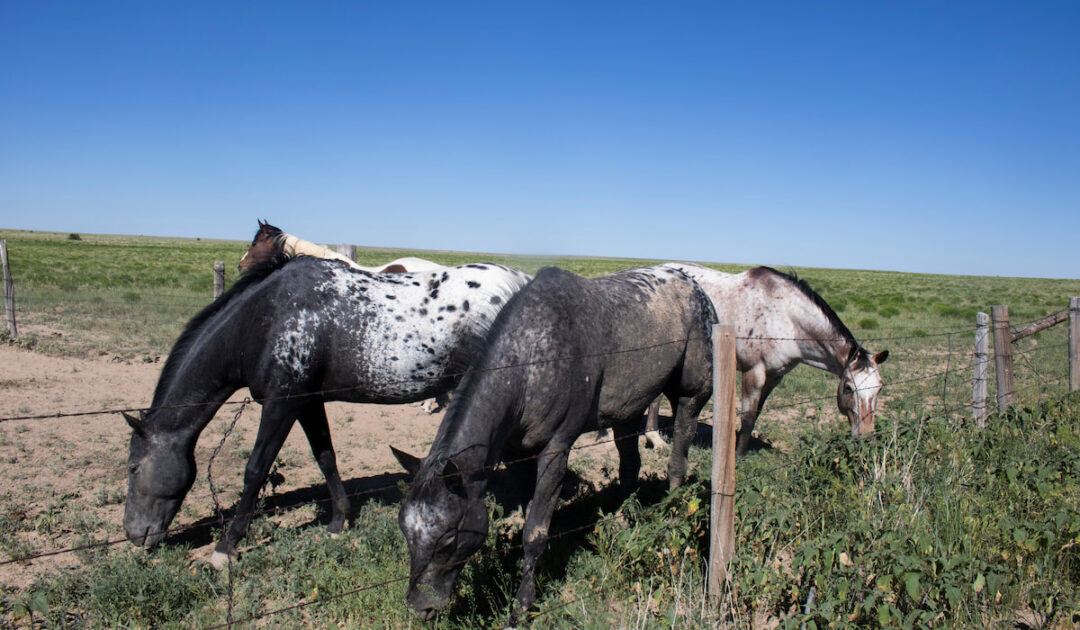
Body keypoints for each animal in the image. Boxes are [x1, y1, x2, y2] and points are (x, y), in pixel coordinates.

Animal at [123, 255, 531, 569]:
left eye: (132, 467)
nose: (133, 534)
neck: (267, 318)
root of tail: (523, 282)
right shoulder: (307, 403)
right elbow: (326, 457)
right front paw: (338, 522)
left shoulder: (281, 404)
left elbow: (255, 470)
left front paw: (227, 546)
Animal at [391, 265, 717, 622]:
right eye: (406, 533)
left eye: (449, 539)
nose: (420, 607)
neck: (529, 362)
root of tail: (694, 285)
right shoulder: (516, 455)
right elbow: (529, 518)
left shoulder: (556, 450)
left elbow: (535, 530)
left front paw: (522, 605)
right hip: (629, 406)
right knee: (630, 466)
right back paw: (619, 522)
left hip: (690, 395)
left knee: (678, 458)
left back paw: (672, 516)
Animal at [647, 263, 889, 456]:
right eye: (848, 387)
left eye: (879, 388)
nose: (866, 437)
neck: (786, 318)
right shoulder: (754, 372)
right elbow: (747, 416)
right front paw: (738, 456)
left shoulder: (774, 377)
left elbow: (756, 415)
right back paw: (655, 439)